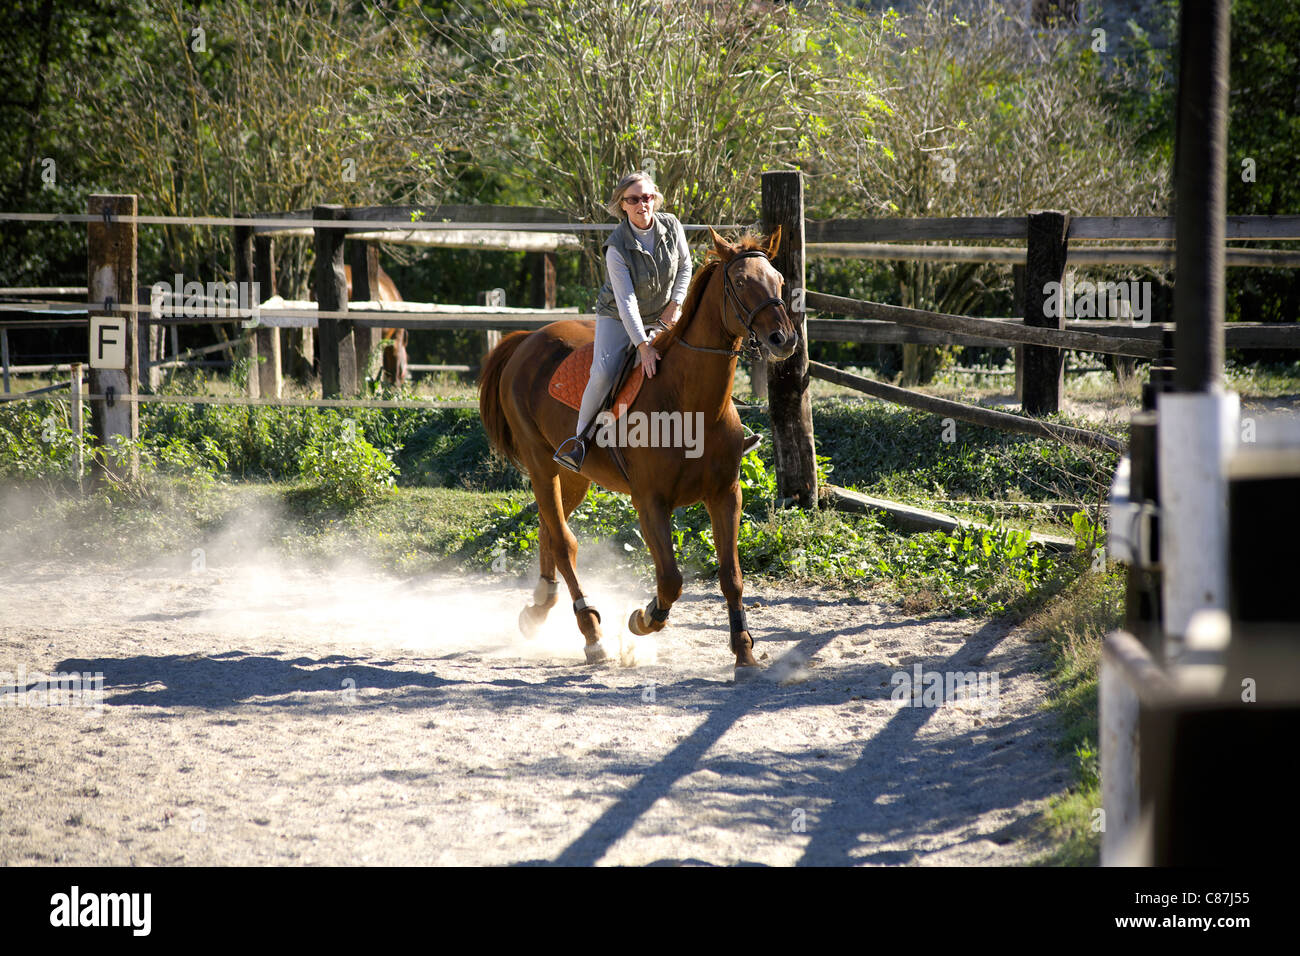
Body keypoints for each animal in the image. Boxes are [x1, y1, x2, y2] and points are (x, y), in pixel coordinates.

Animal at [477, 226, 798, 679]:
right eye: (739, 282)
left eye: (780, 282)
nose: (783, 339)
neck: (690, 404)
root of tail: (527, 340)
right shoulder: (650, 503)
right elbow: (670, 580)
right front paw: (643, 619)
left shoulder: (725, 495)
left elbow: (731, 577)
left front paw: (744, 653)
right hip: (541, 465)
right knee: (563, 542)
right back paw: (592, 634)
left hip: (573, 476)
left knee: (550, 531)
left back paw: (538, 608)